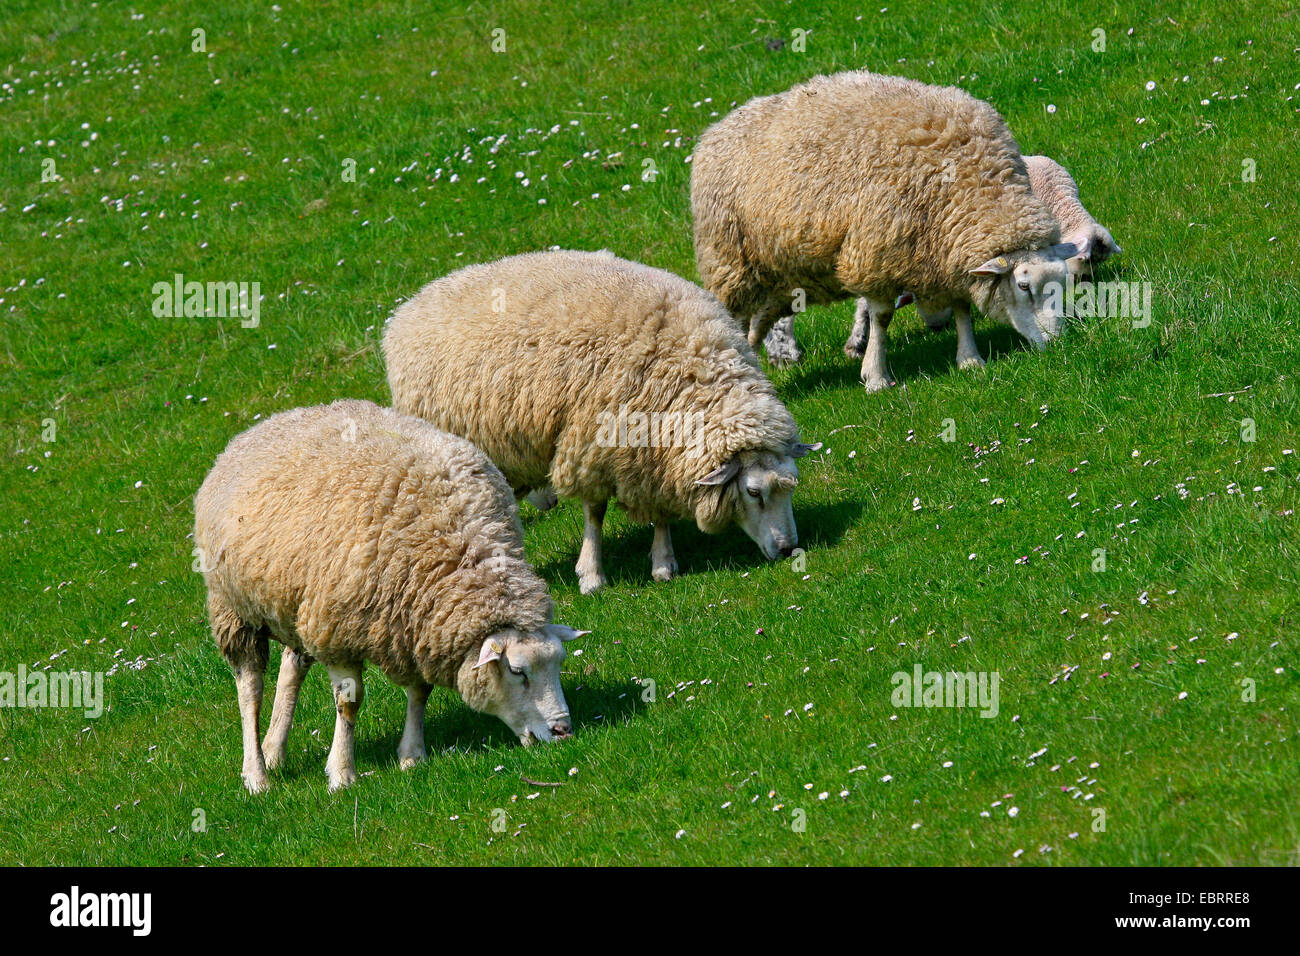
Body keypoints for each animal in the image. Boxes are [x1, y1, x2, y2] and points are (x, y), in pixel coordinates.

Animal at [193, 399, 584, 793]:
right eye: (518, 671)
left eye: (559, 663)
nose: (563, 731)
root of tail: (271, 421)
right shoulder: (340, 632)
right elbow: (350, 703)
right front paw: (342, 773)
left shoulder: (414, 625)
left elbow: (420, 691)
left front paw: (412, 755)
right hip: (236, 609)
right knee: (250, 690)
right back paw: (257, 774)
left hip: (298, 606)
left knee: (291, 668)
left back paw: (275, 750)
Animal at [383, 249, 820, 594]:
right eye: (753, 492)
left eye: (792, 486)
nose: (788, 551)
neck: (689, 365)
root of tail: (413, 303)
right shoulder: (590, 442)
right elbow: (594, 512)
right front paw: (592, 575)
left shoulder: (649, 452)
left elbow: (658, 510)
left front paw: (663, 562)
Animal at [691, 70, 1079, 392]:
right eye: (1024, 286)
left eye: (1064, 282)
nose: (1059, 343)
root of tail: (717, 128)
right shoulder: (875, 253)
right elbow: (881, 317)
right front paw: (876, 376)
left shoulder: (946, 255)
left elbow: (961, 307)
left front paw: (969, 358)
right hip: (730, 261)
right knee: (735, 318)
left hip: (779, 277)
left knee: (757, 324)